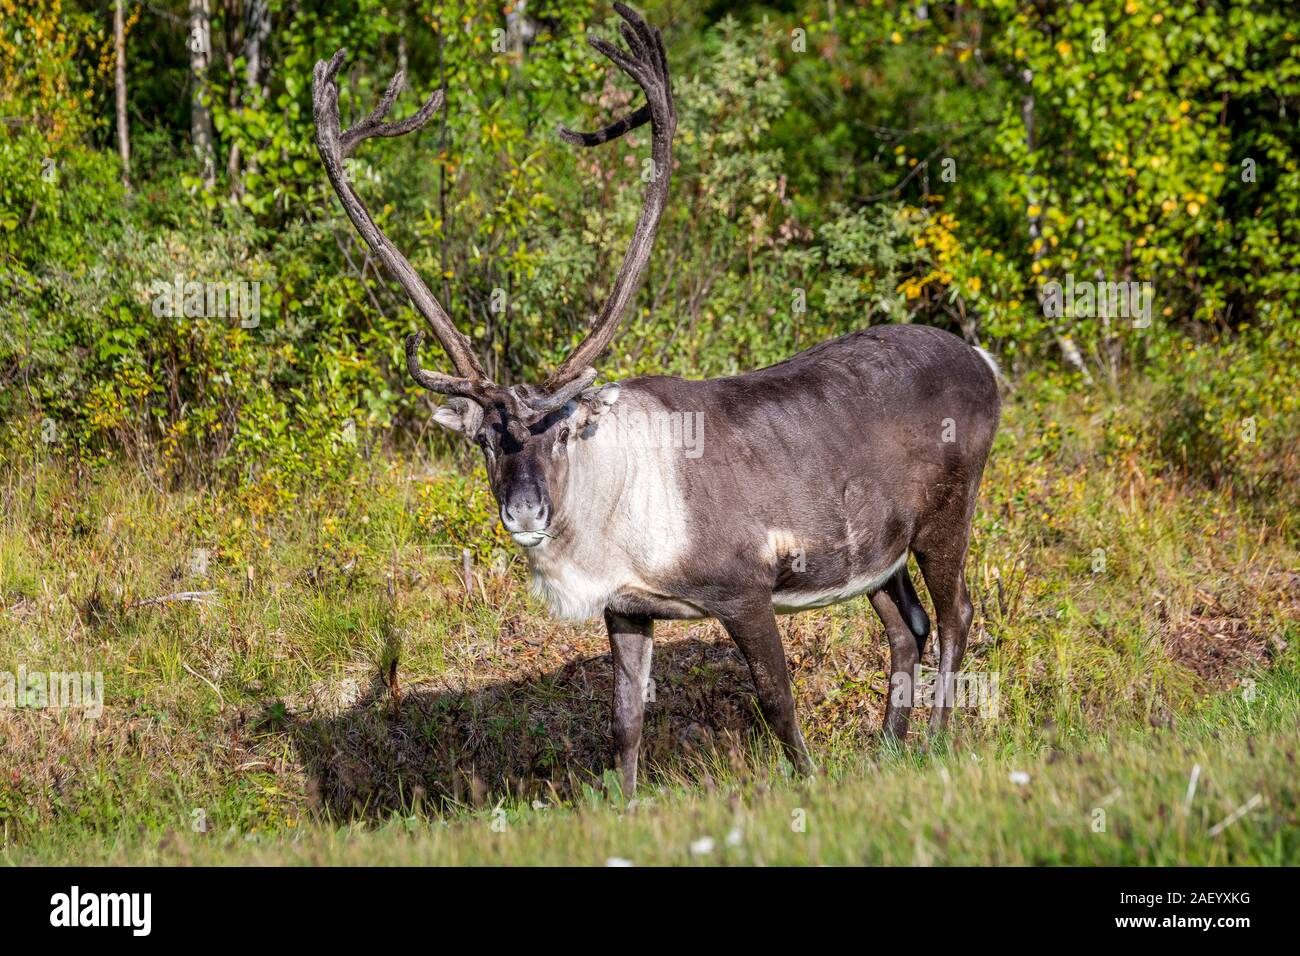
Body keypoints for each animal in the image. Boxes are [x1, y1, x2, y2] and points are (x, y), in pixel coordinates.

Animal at [313, 3, 1000, 795]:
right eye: (482, 441)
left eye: (557, 431)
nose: (524, 513)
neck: (609, 516)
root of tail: (983, 363)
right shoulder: (628, 609)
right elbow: (625, 718)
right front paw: (626, 801)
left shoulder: (744, 589)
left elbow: (777, 700)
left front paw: (807, 782)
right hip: (877, 551)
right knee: (904, 626)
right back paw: (889, 747)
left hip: (947, 512)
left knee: (955, 615)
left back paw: (937, 742)